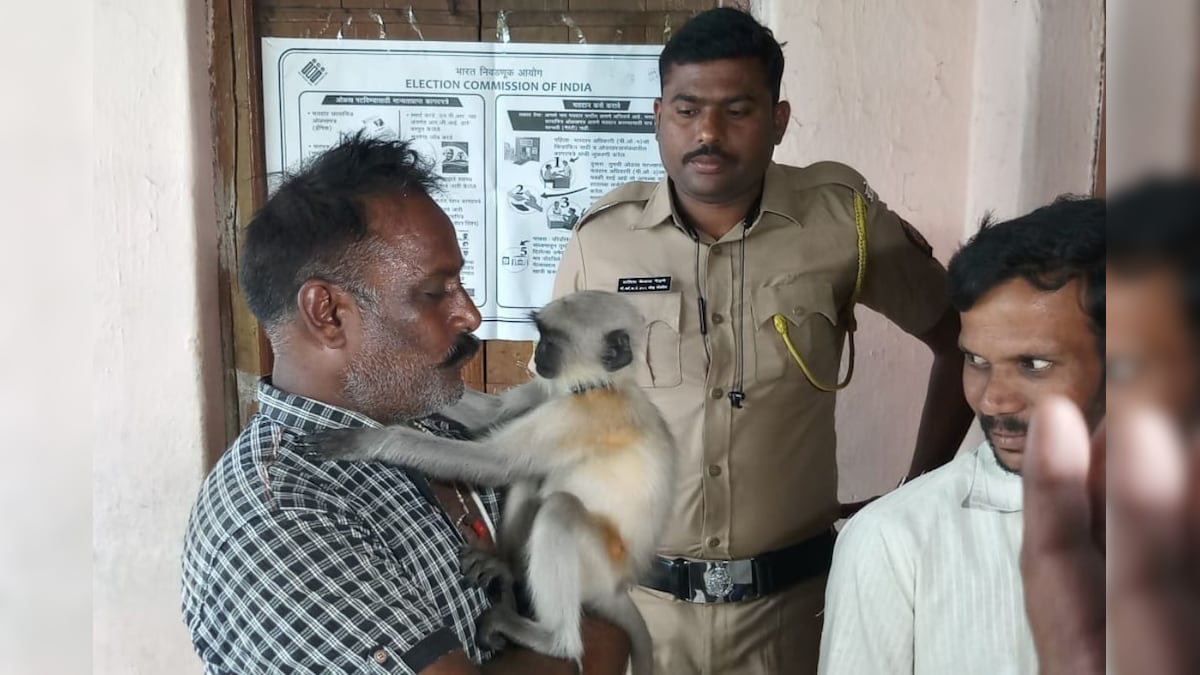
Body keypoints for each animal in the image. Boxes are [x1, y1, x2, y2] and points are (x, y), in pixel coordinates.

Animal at [300, 290, 677, 675]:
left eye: (551, 341)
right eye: (542, 336)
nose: (537, 357)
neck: (605, 385)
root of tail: (616, 587)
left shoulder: (583, 413)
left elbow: (494, 462)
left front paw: (370, 441)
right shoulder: (553, 394)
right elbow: (492, 414)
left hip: (597, 568)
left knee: (557, 506)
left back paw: (556, 641)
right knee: (528, 477)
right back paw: (508, 569)